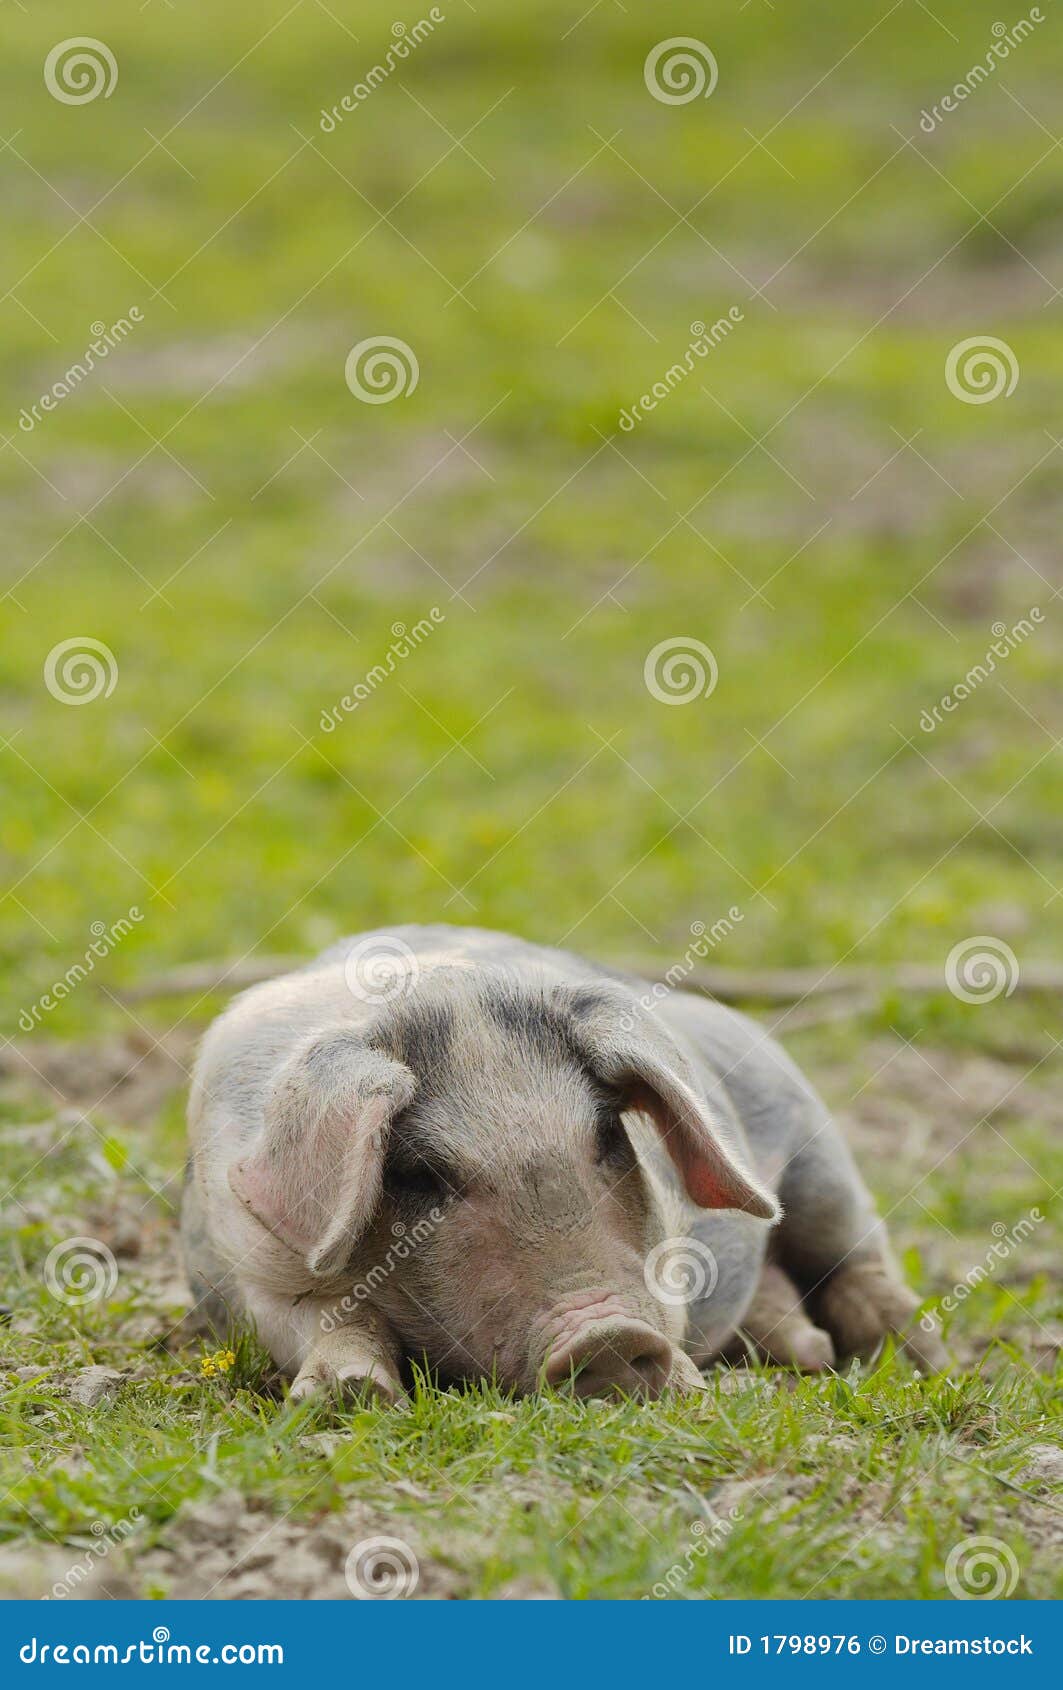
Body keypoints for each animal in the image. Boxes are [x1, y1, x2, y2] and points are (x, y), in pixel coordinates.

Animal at [181, 924, 943, 1403]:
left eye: (606, 1135)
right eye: (420, 1175)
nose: (604, 1334)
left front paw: (689, 1388)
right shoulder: (256, 1271)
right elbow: (332, 1319)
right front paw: (348, 1398)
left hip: (821, 1155)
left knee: (855, 1255)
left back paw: (918, 1353)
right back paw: (809, 1351)